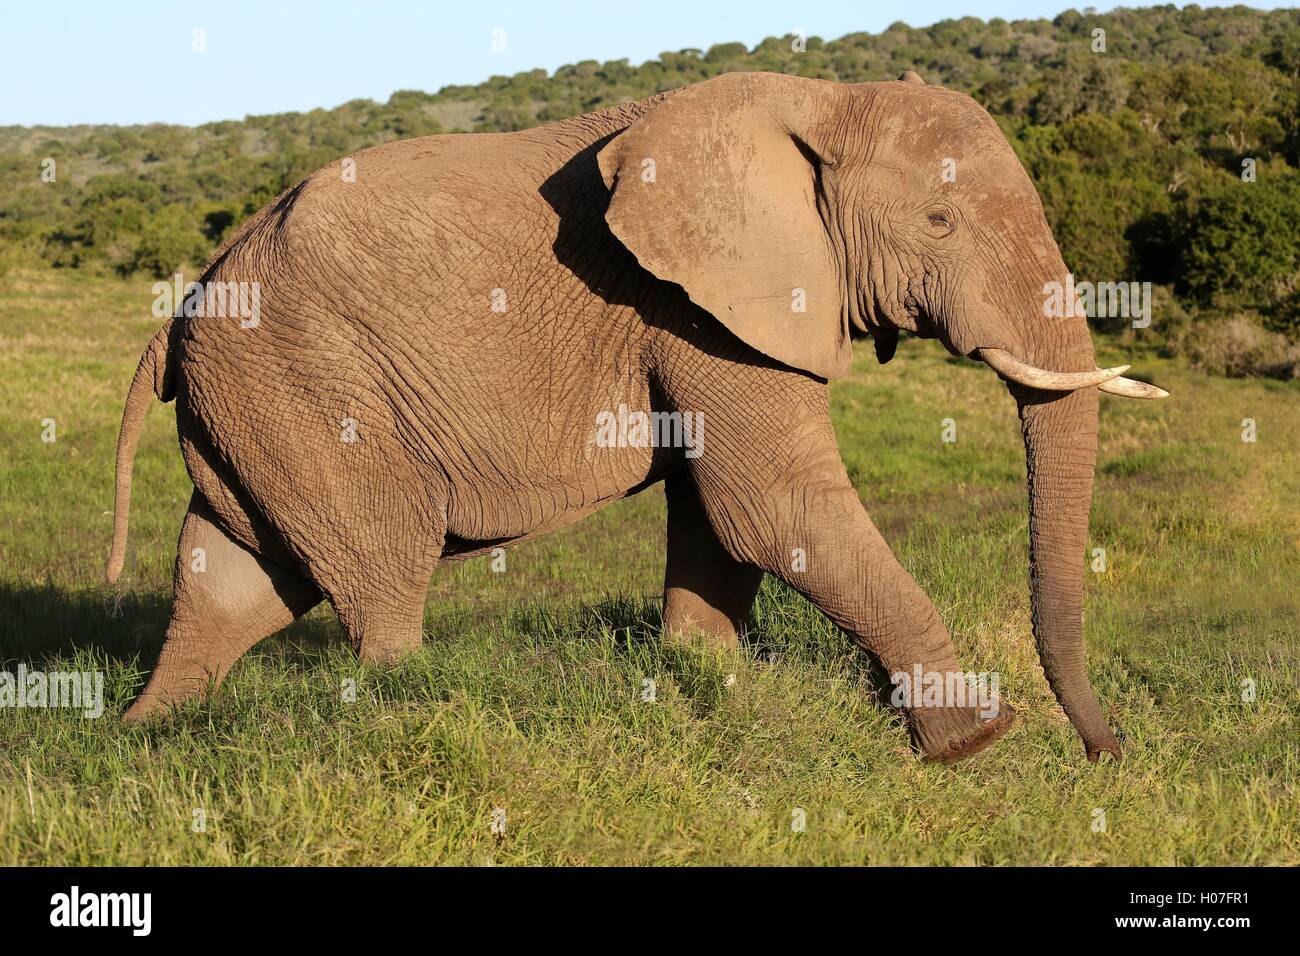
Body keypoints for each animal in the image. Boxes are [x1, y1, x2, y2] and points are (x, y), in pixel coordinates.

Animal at [107, 70, 1167, 762]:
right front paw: (973, 740)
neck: (820, 97)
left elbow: (720, 517)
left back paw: (141, 735)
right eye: (940, 224)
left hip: (256, 404)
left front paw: (713, 691)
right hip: (312, 390)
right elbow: (770, 505)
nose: (1106, 751)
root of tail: (179, 312)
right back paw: (403, 705)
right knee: (380, 569)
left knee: (230, 577)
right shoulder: (690, 299)